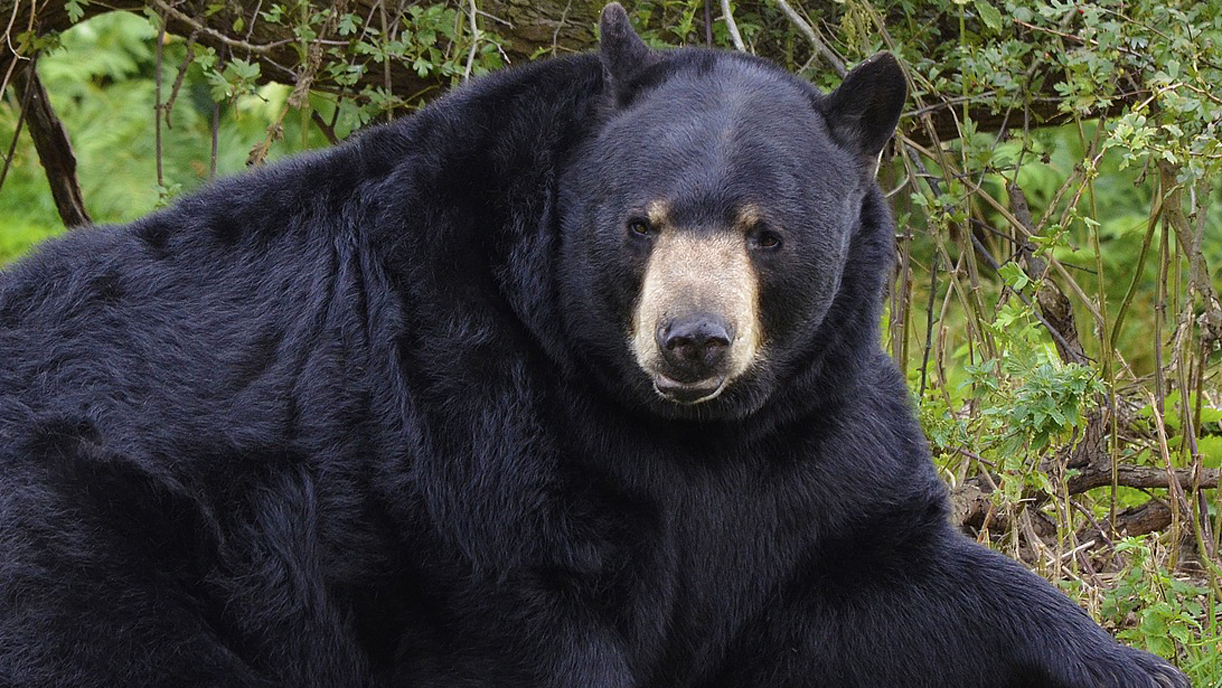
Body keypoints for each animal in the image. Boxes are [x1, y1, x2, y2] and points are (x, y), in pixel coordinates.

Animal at [0, 3, 1190, 687]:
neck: (687, 435)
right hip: (87, 523)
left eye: (766, 230)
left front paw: (1135, 665)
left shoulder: (808, 439)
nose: (694, 341)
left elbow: (909, 574)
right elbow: (533, 609)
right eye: (640, 221)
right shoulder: (464, 410)